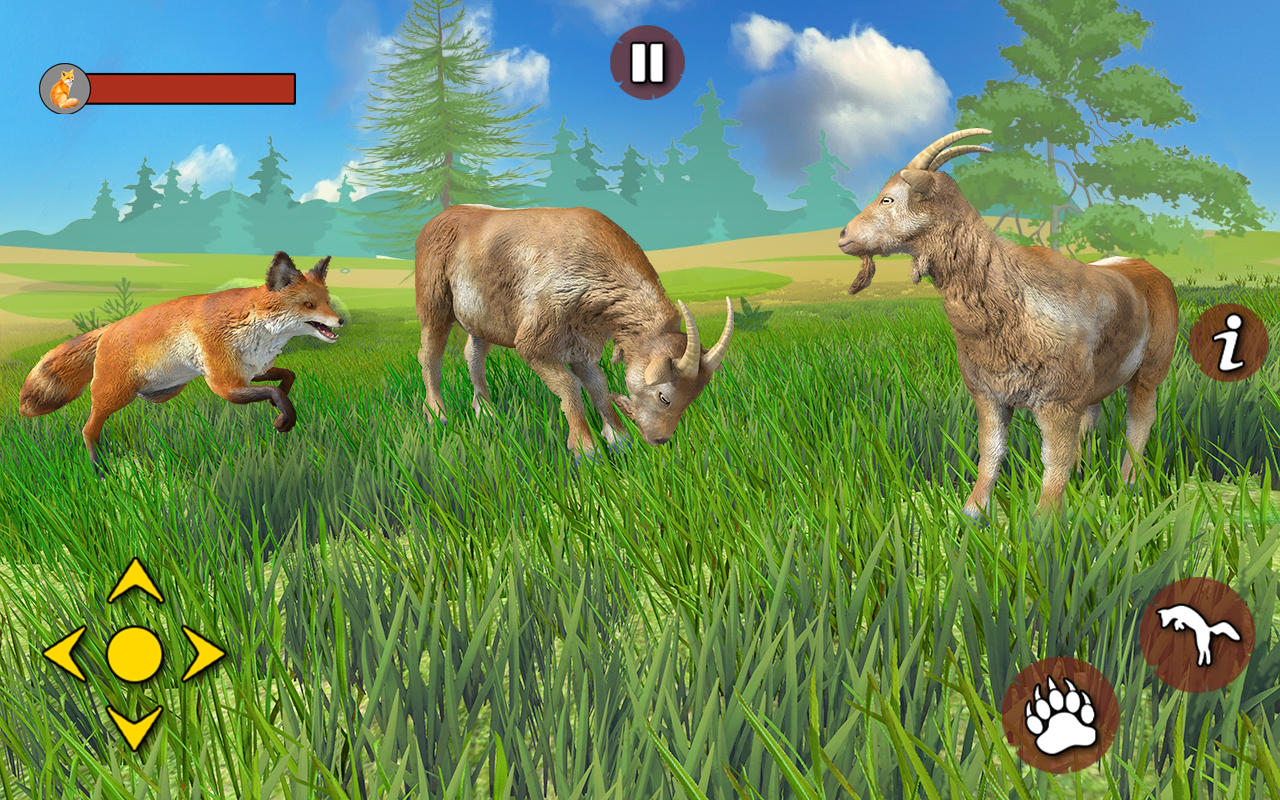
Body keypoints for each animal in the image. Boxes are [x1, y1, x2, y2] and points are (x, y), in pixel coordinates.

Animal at [18, 252, 344, 471]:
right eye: (309, 305)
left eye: (328, 301)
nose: (340, 321)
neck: (251, 327)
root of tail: (108, 329)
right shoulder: (224, 384)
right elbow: (275, 391)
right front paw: (284, 418)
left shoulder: (250, 372)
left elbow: (287, 378)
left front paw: (281, 408)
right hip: (114, 395)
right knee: (88, 430)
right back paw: (99, 470)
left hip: (159, 392)